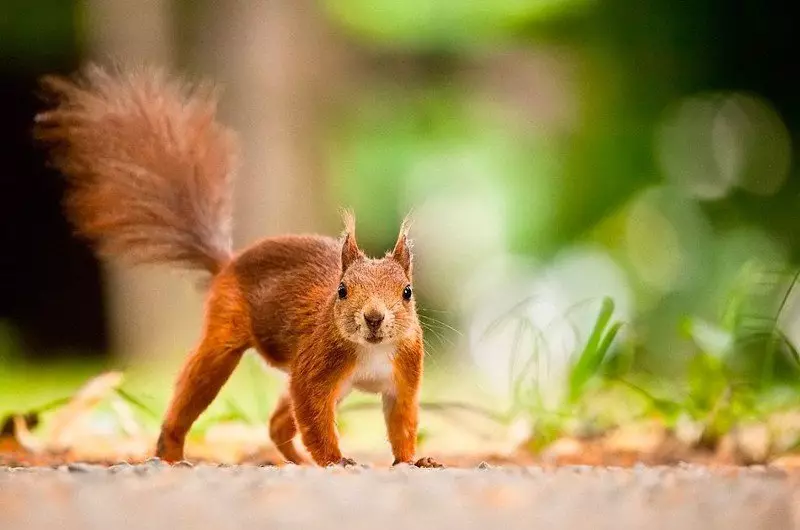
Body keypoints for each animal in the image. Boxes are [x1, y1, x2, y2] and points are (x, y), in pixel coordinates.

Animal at [34, 65, 440, 466]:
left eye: (407, 292)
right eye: (342, 291)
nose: (373, 317)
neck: (372, 350)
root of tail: (228, 263)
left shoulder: (404, 376)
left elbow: (403, 422)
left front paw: (414, 461)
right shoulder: (316, 367)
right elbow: (312, 414)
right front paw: (336, 460)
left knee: (278, 424)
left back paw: (294, 461)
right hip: (224, 336)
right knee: (196, 393)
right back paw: (171, 453)